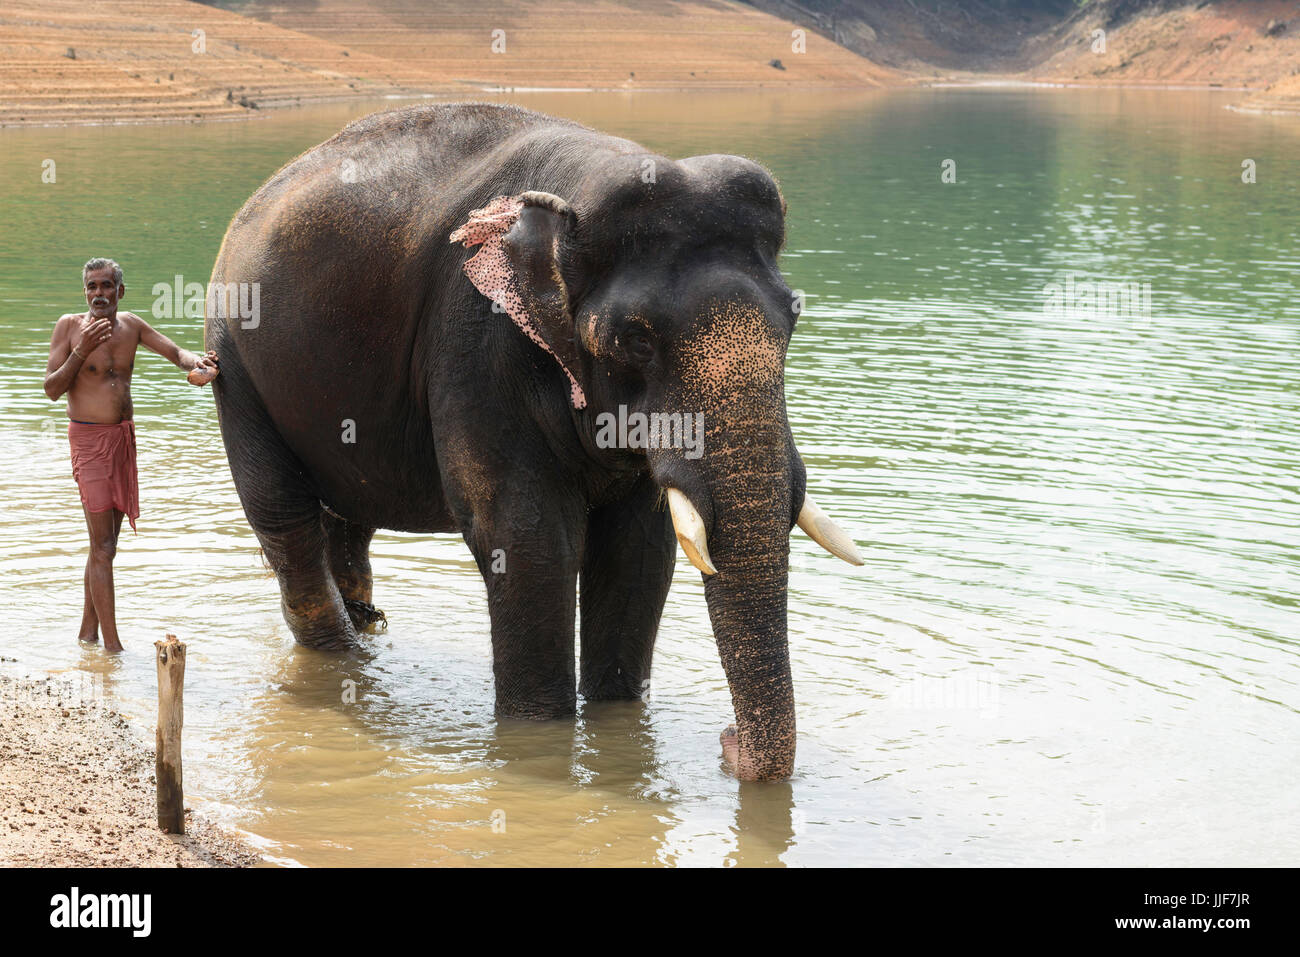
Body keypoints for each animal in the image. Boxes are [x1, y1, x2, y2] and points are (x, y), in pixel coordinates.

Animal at [204, 103, 862, 781]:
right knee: (284, 518)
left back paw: (365, 634)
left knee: (348, 518)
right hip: (235, 360)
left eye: (793, 317)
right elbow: (528, 539)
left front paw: (619, 719)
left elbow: (639, 547)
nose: (726, 745)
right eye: (635, 340)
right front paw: (537, 733)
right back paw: (340, 658)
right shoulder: (477, 340)